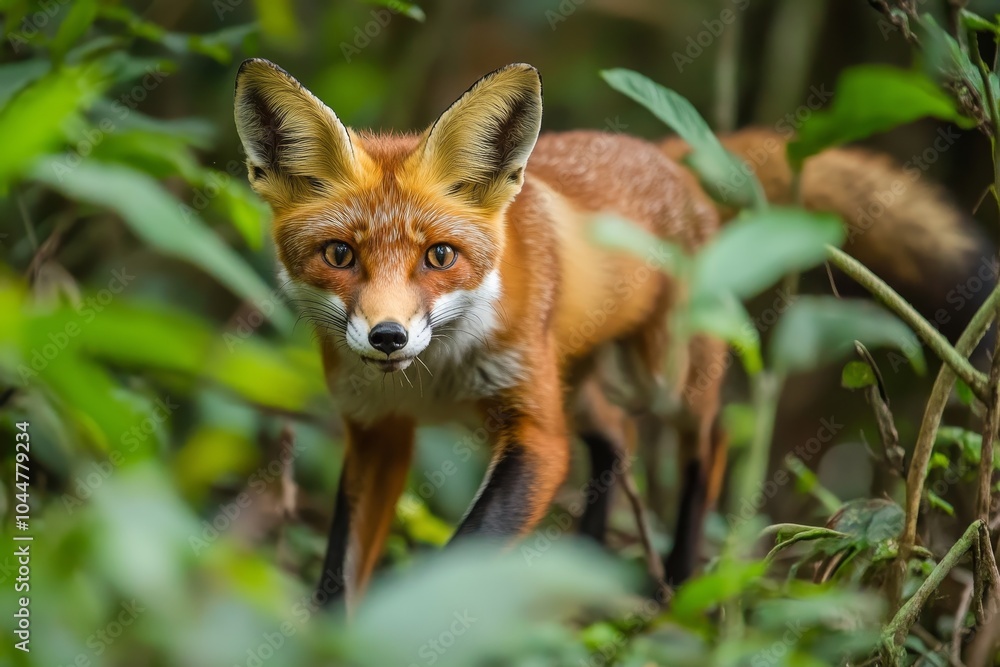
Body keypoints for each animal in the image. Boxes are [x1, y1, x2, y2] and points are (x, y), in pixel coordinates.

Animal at [234, 59, 992, 608]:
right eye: (339, 255)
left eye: (440, 256)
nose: (388, 337)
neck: (433, 379)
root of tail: (663, 152)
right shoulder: (378, 431)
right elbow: (338, 572)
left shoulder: (535, 432)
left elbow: (465, 551)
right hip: (579, 383)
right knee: (615, 440)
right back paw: (589, 564)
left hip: (660, 377)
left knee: (711, 435)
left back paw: (678, 586)